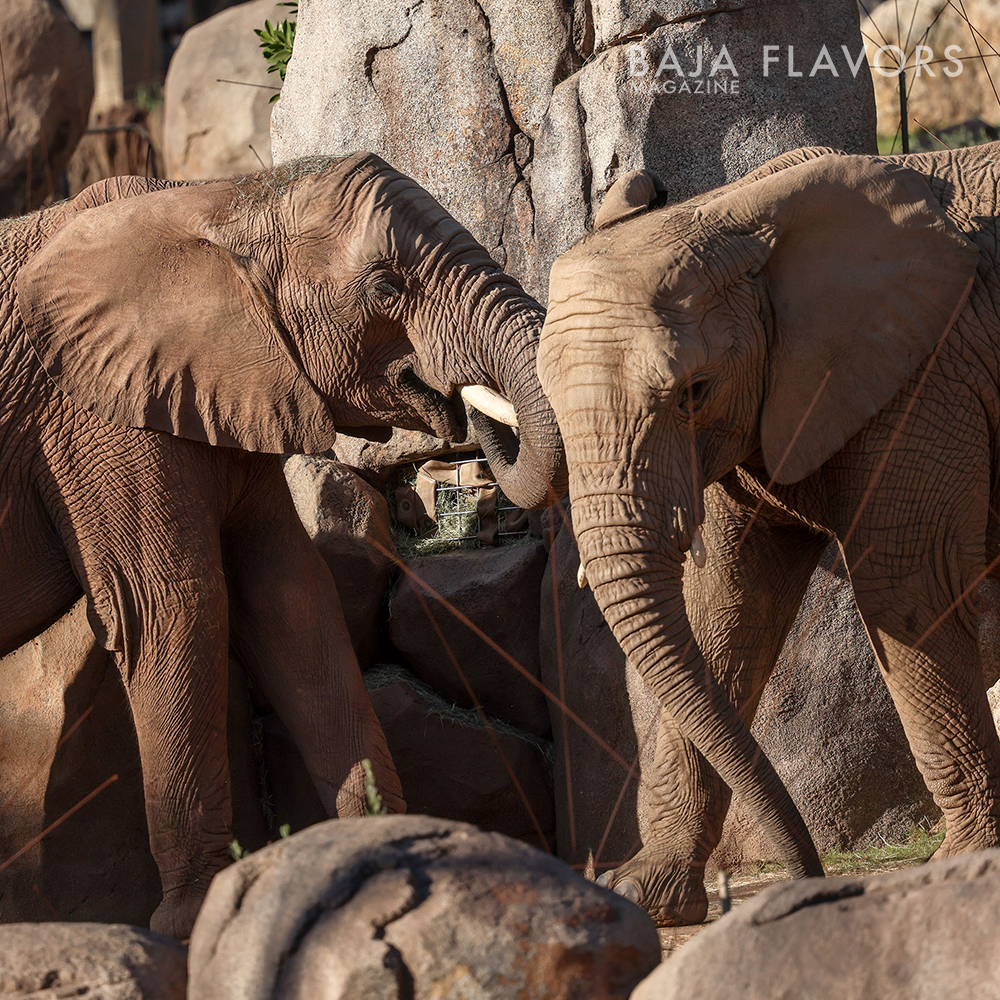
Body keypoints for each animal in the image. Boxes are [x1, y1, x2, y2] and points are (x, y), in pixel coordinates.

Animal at [1, 153, 562, 937]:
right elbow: (174, 610)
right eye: (386, 286)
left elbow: (292, 602)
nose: (464, 403)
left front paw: (383, 853)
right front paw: (191, 920)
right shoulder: (91, 413)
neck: (218, 200)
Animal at [537, 143, 1000, 924]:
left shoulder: (926, 377)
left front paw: (965, 864)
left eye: (693, 393)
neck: (741, 212)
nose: (810, 876)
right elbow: (725, 606)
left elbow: (906, 588)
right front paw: (641, 893)